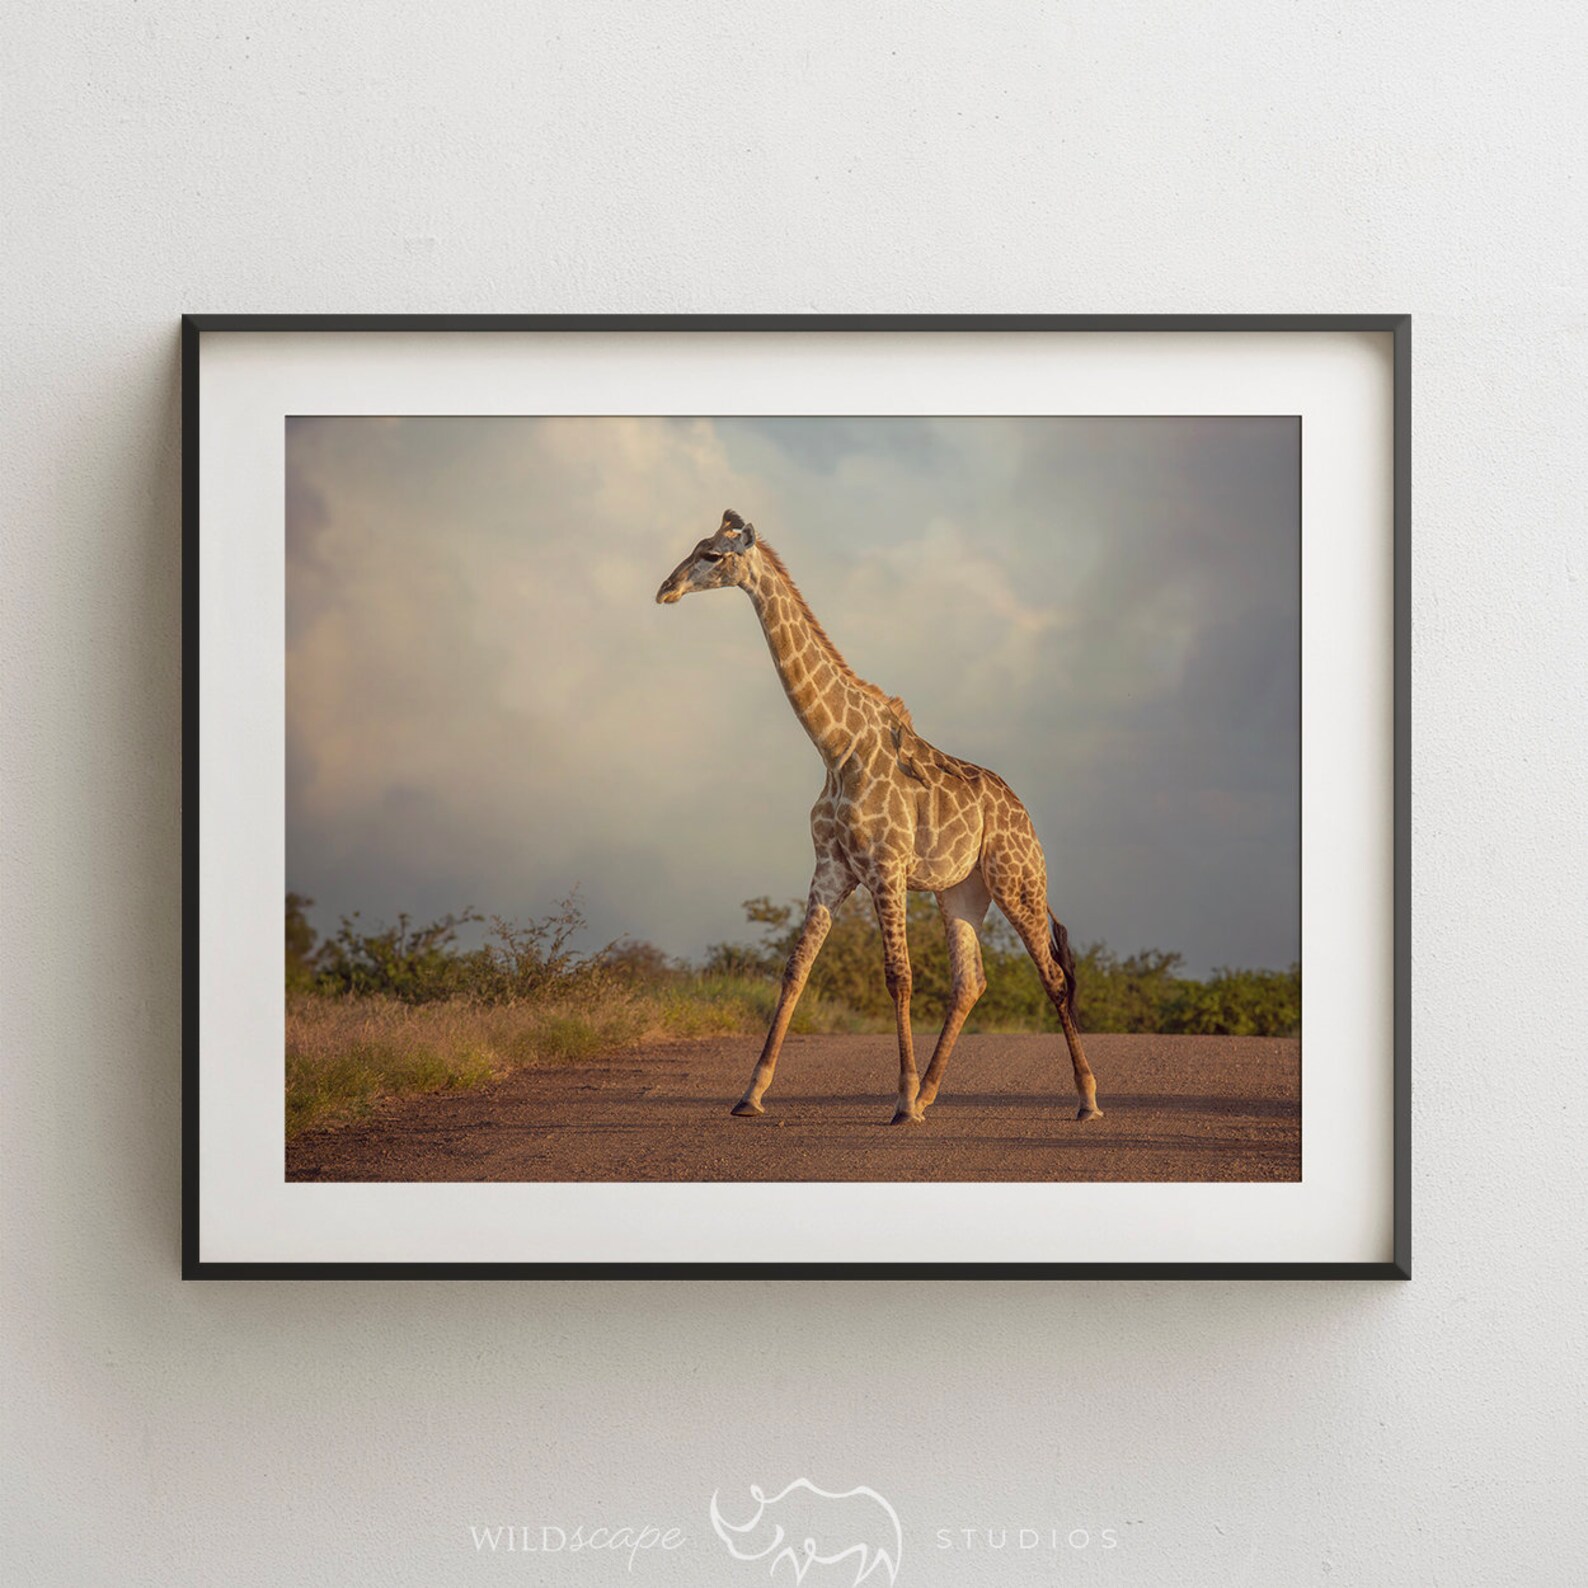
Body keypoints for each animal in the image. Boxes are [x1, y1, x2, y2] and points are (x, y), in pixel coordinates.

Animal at [656, 510, 1102, 1126]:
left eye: (713, 556)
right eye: (696, 546)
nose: (664, 589)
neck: (835, 747)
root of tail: (1025, 816)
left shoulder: (886, 868)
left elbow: (899, 976)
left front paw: (901, 1100)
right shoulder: (830, 869)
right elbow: (796, 970)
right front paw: (751, 1093)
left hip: (1017, 881)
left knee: (1054, 976)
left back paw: (1085, 1098)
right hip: (962, 891)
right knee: (970, 981)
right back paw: (933, 1093)